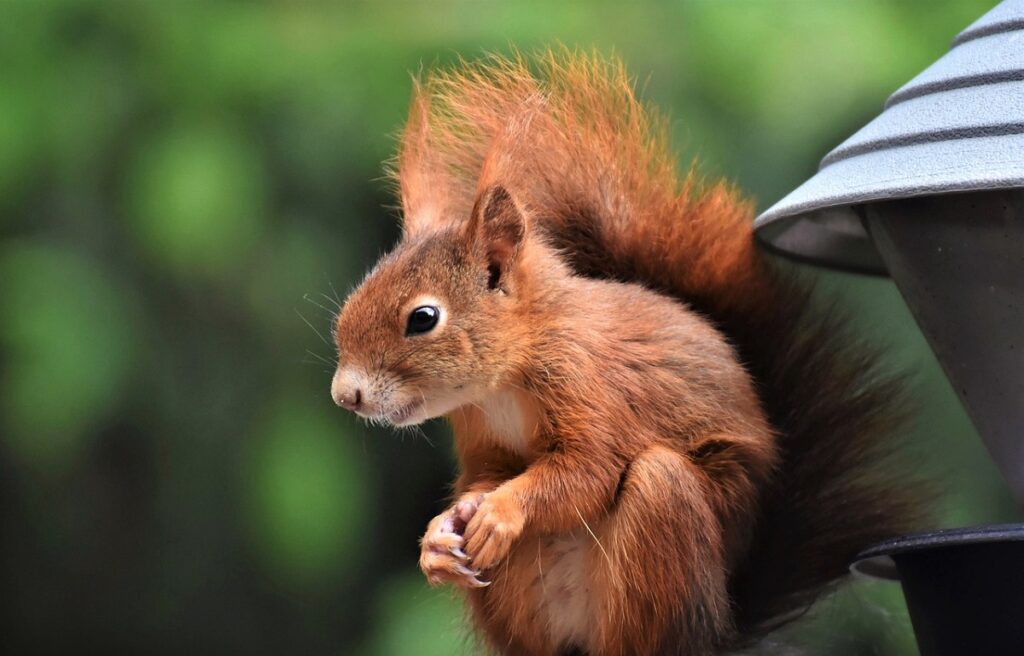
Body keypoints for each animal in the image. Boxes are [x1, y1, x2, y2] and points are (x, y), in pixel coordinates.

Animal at [329, 51, 925, 655]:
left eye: (422, 319)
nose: (344, 395)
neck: (505, 379)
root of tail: (717, 626)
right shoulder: (480, 430)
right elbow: (487, 471)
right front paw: (440, 533)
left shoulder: (589, 382)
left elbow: (587, 470)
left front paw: (500, 511)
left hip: (664, 532)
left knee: (654, 495)